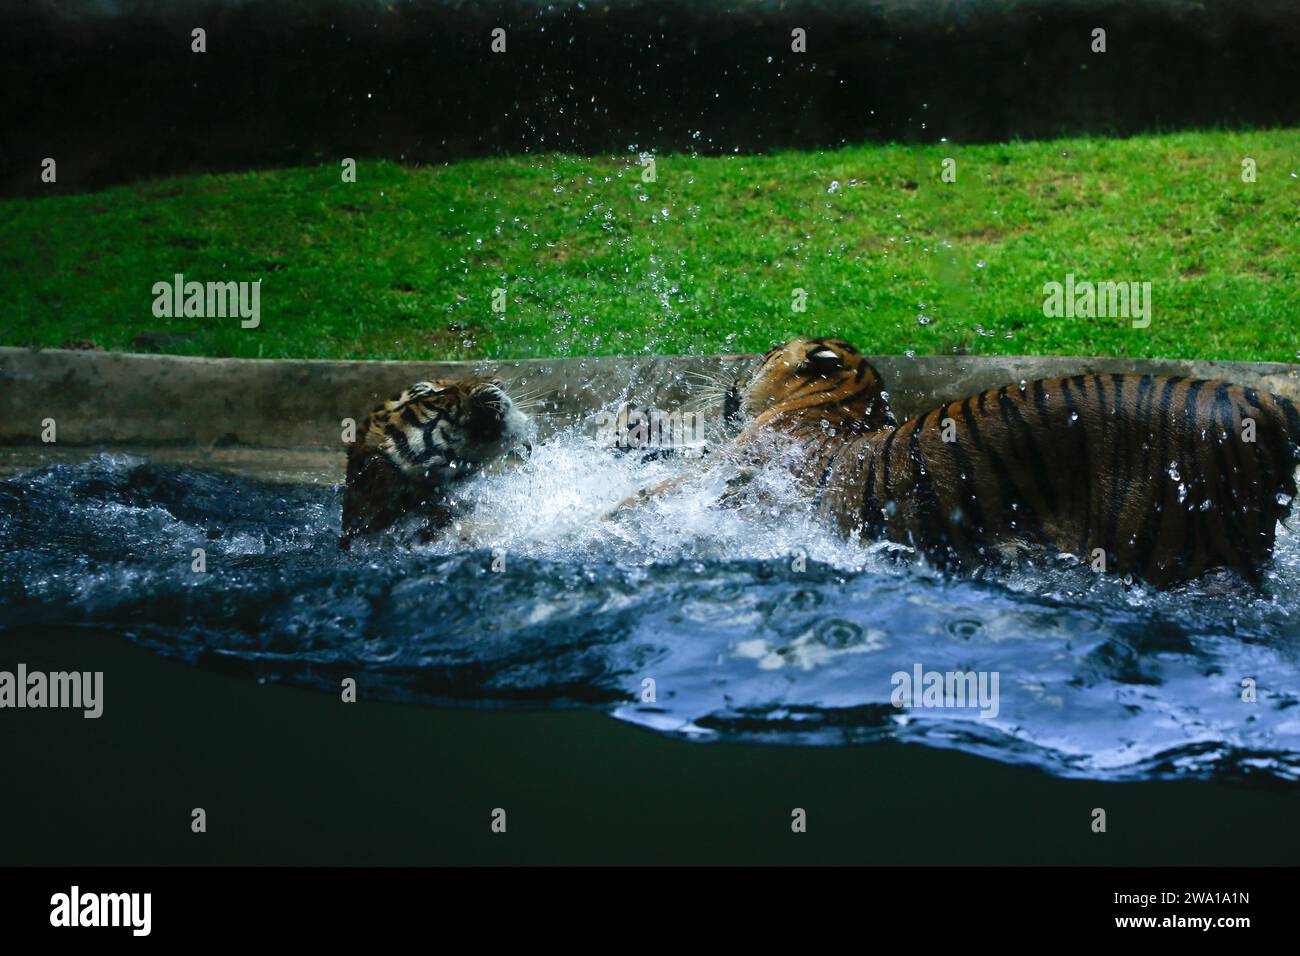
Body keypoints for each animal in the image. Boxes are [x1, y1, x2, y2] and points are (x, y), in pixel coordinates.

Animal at [625, 337, 1300, 588]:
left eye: (765, 353)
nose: (731, 385)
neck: (841, 404)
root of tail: (1259, 399)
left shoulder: (730, 471)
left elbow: (648, 494)